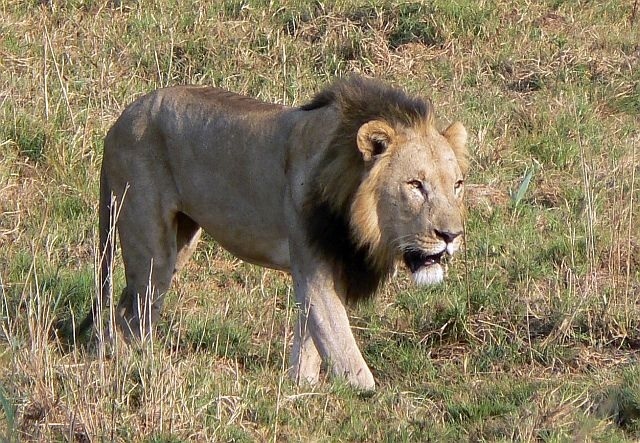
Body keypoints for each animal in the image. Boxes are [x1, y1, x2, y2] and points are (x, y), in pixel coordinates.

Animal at [76, 76, 469, 390]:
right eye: (415, 185)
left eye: (458, 185)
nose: (451, 236)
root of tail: (121, 120)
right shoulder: (311, 262)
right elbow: (339, 342)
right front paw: (365, 395)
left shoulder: (333, 263)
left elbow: (312, 336)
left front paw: (302, 386)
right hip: (152, 247)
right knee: (131, 311)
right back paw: (134, 365)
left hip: (180, 242)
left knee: (128, 310)